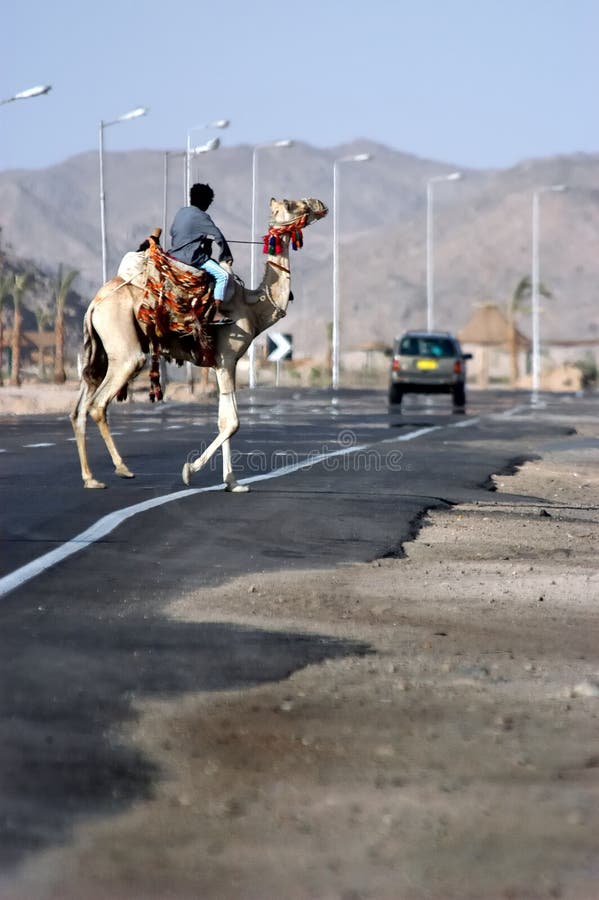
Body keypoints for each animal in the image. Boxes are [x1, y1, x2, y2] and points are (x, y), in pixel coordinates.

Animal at [71, 197, 328, 490]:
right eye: (293, 205)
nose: (320, 204)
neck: (253, 307)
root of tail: (96, 304)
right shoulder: (228, 358)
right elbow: (232, 422)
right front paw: (190, 470)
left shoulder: (219, 363)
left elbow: (223, 420)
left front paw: (232, 483)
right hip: (124, 346)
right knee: (99, 404)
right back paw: (122, 468)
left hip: (100, 351)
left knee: (80, 407)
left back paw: (90, 478)